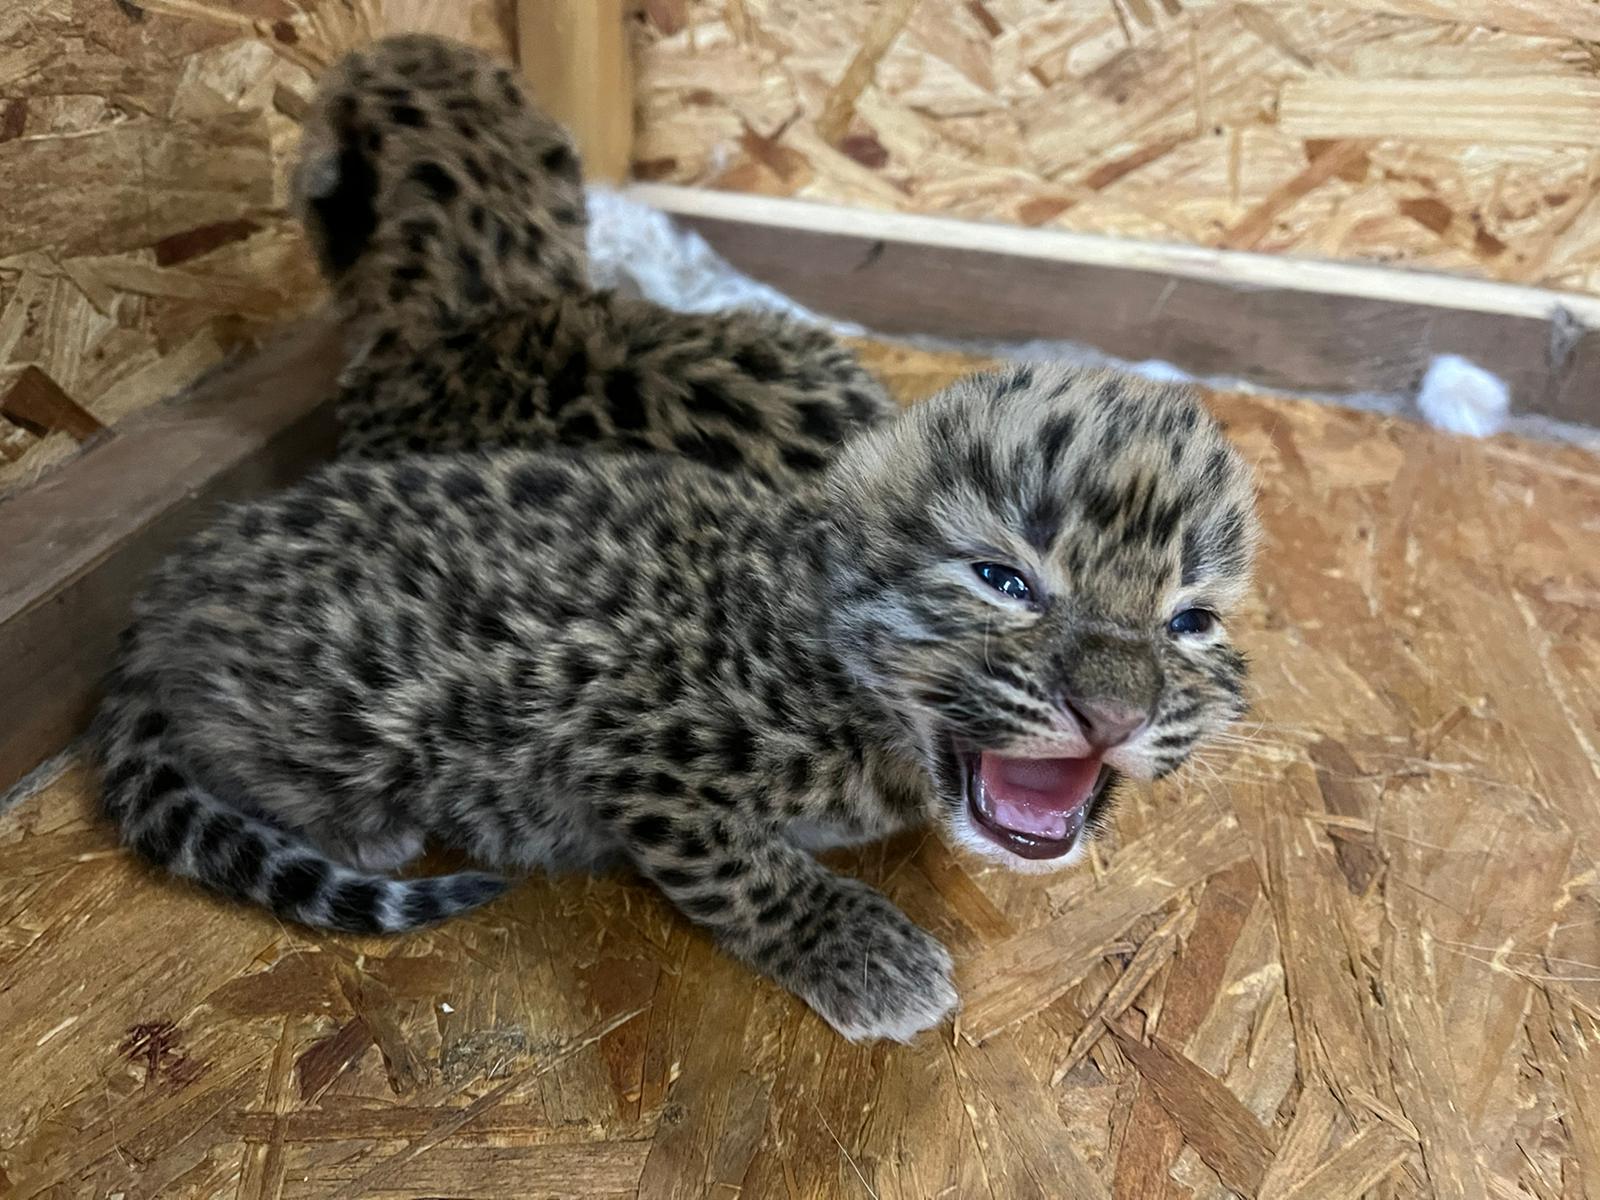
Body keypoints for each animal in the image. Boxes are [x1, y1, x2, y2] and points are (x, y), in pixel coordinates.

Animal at [91, 363, 1258, 1043]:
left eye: (1190, 622)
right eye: (1001, 581)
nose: (1112, 714)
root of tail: (168, 587)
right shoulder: (644, 751)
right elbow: (749, 874)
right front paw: (867, 955)